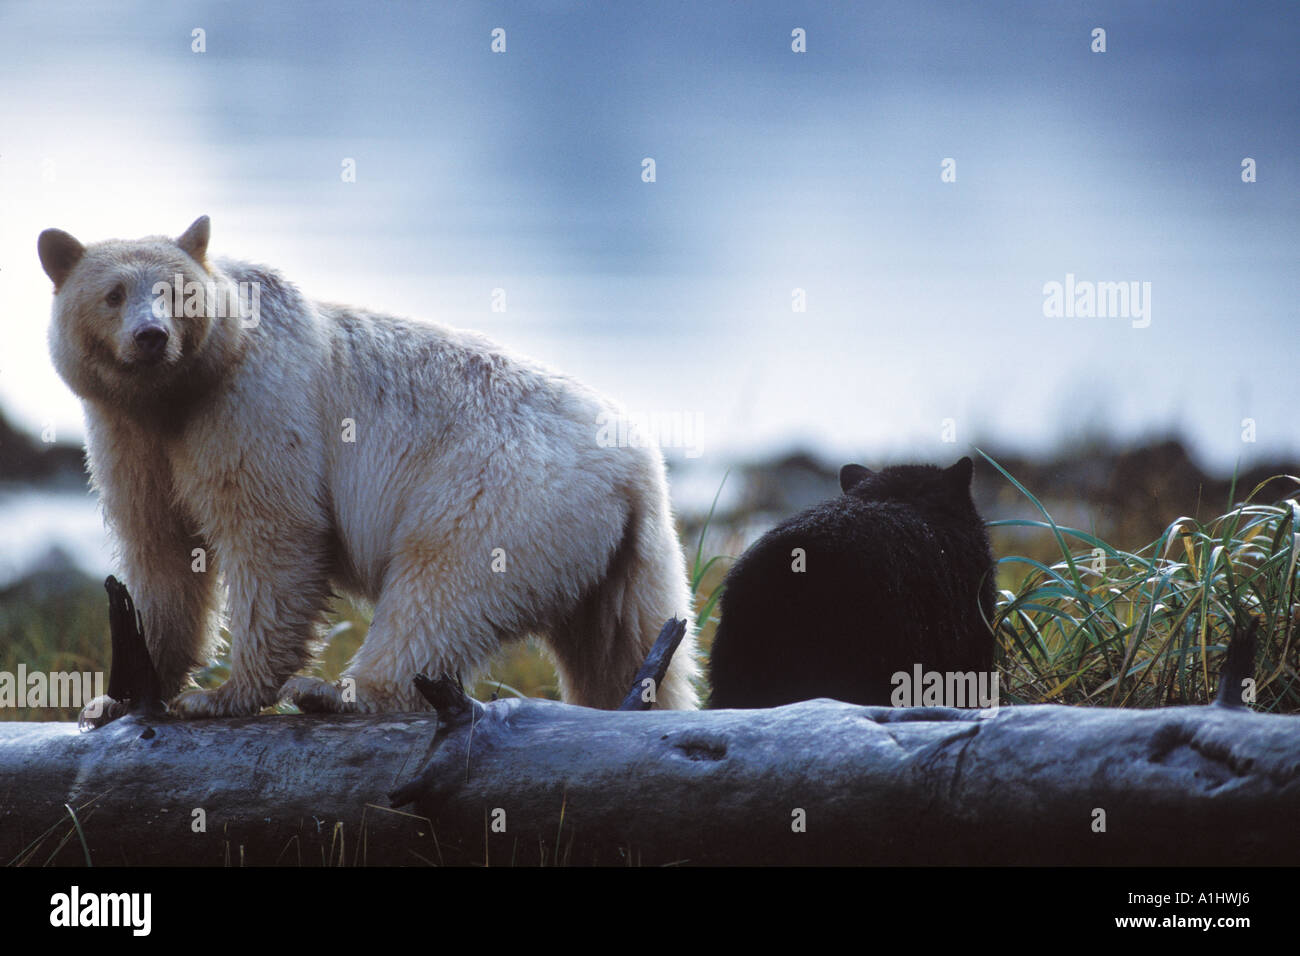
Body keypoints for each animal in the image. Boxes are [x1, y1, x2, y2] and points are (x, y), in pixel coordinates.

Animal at [38, 215, 699, 721]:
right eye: (114, 293)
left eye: (178, 293)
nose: (151, 337)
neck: (176, 397)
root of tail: (637, 467)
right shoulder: (128, 437)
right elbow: (159, 551)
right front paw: (120, 694)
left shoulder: (251, 404)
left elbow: (271, 533)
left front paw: (223, 694)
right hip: (622, 560)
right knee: (623, 645)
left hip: (501, 489)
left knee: (440, 586)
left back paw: (340, 692)